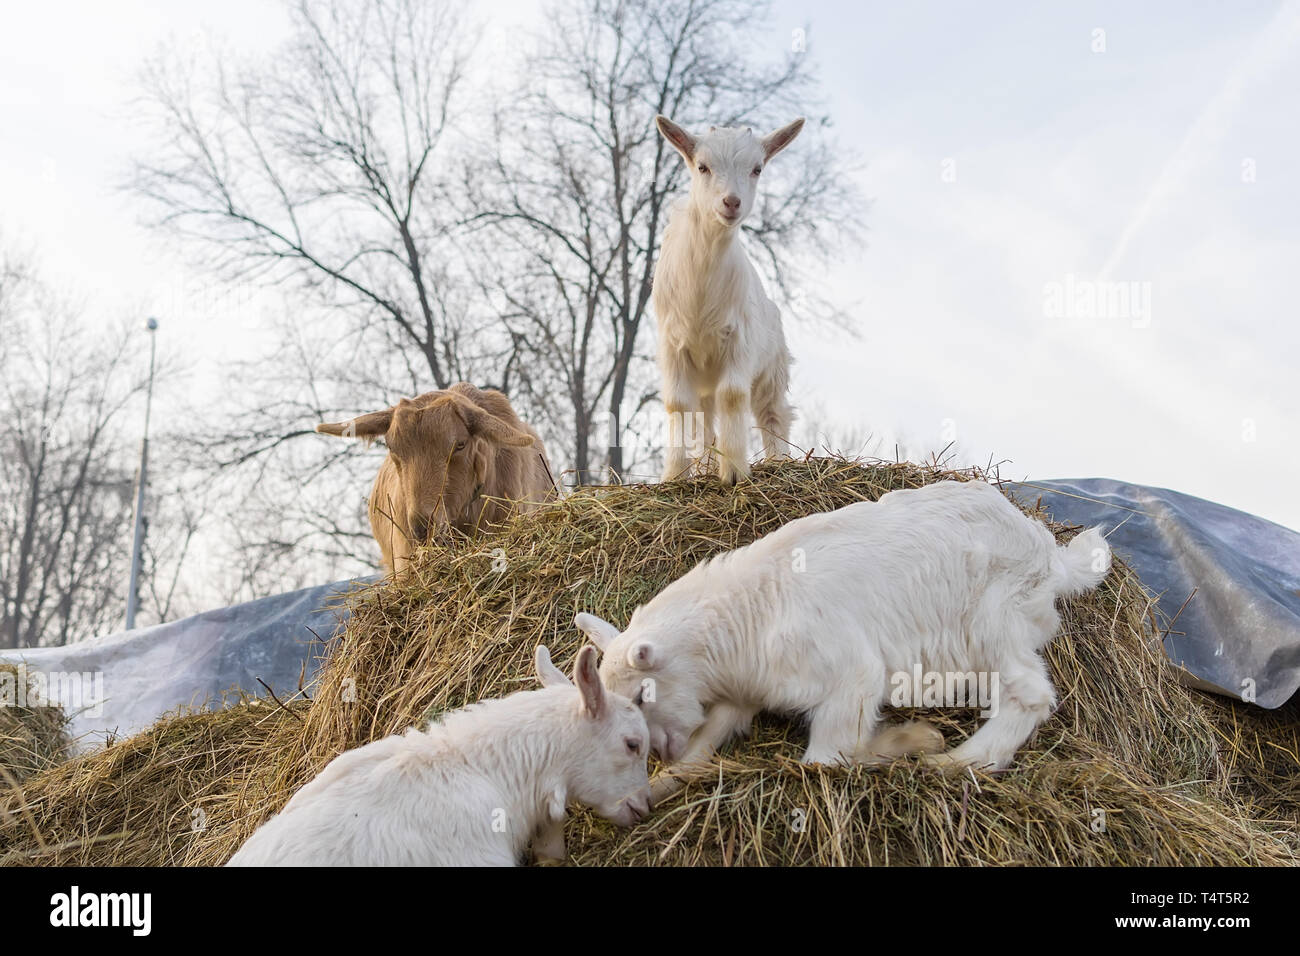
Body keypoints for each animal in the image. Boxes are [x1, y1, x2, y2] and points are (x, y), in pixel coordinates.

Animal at [576, 480, 1111, 803]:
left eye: (641, 696)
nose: (653, 752)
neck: (755, 609)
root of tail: (1052, 553)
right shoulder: (745, 687)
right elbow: (710, 735)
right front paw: (660, 784)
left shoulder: (850, 675)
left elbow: (826, 759)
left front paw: (911, 740)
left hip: (994, 622)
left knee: (1029, 694)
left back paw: (954, 762)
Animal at [652, 114, 804, 484]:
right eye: (702, 166)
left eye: (757, 168)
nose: (731, 202)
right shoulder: (672, 346)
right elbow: (677, 404)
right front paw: (674, 475)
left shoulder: (739, 340)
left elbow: (733, 396)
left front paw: (734, 472)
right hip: (704, 379)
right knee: (705, 419)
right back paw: (706, 464)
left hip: (772, 368)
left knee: (772, 413)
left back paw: (778, 461)